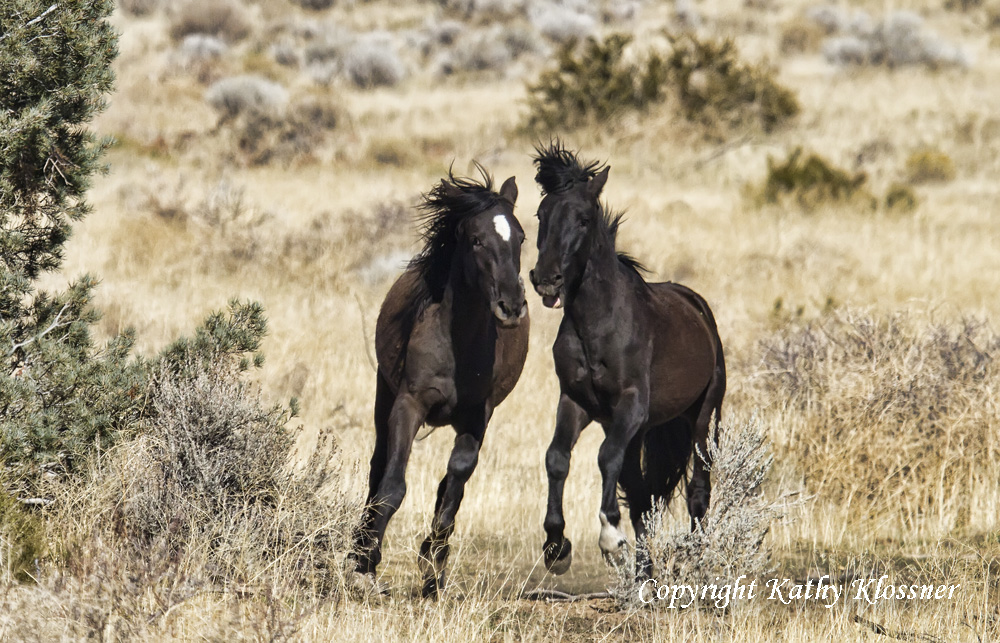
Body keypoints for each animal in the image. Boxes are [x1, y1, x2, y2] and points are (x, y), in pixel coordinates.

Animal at [349, 166, 529, 598]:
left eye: (520, 238)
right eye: (477, 239)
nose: (512, 306)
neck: (457, 342)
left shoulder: (478, 415)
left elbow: (456, 481)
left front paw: (432, 566)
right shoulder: (409, 404)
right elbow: (393, 484)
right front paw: (366, 563)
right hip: (383, 394)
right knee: (378, 465)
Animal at [527, 142, 726, 578]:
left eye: (583, 219)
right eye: (540, 214)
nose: (545, 279)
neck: (598, 325)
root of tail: (696, 305)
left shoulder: (631, 406)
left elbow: (605, 458)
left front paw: (610, 540)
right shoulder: (576, 403)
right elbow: (557, 458)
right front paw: (556, 546)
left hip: (702, 418)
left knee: (697, 491)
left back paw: (695, 558)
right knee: (641, 495)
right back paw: (645, 573)